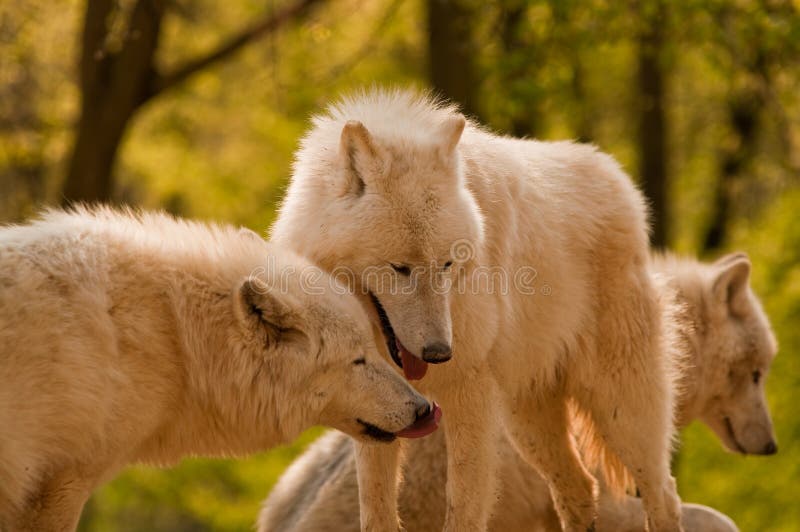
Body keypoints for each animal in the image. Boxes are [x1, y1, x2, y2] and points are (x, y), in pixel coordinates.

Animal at [269, 89, 682, 531]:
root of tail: (619, 179)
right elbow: (376, 509)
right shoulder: (380, 410)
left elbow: (463, 509)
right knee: (579, 488)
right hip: (526, 421)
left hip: (620, 407)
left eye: (448, 264)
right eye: (399, 268)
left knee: (663, 494)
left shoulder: (470, 392)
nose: (438, 352)